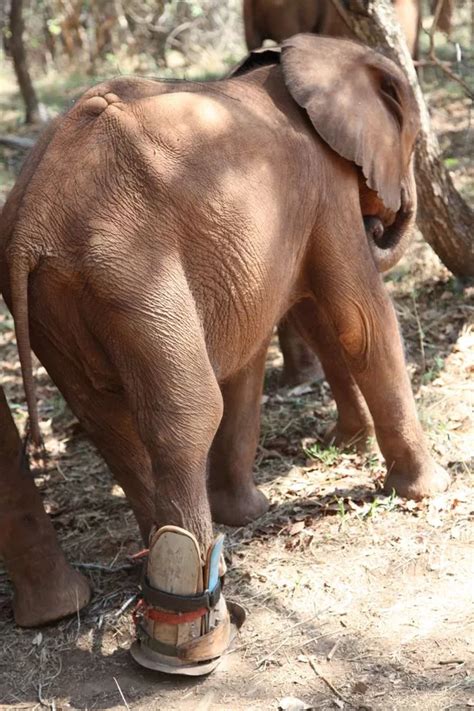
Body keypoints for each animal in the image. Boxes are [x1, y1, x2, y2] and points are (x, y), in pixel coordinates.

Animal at [0, 36, 449, 632]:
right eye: (413, 140)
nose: (381, 219)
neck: (294, 60)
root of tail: (31, 218)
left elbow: (260, 342)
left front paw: (249, 512)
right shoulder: (324, 186)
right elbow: (360, 320)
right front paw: (432, 489)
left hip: (62, 295)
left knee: (106, 419)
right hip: (132, 270)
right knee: (185, 414)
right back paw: (200, 602)